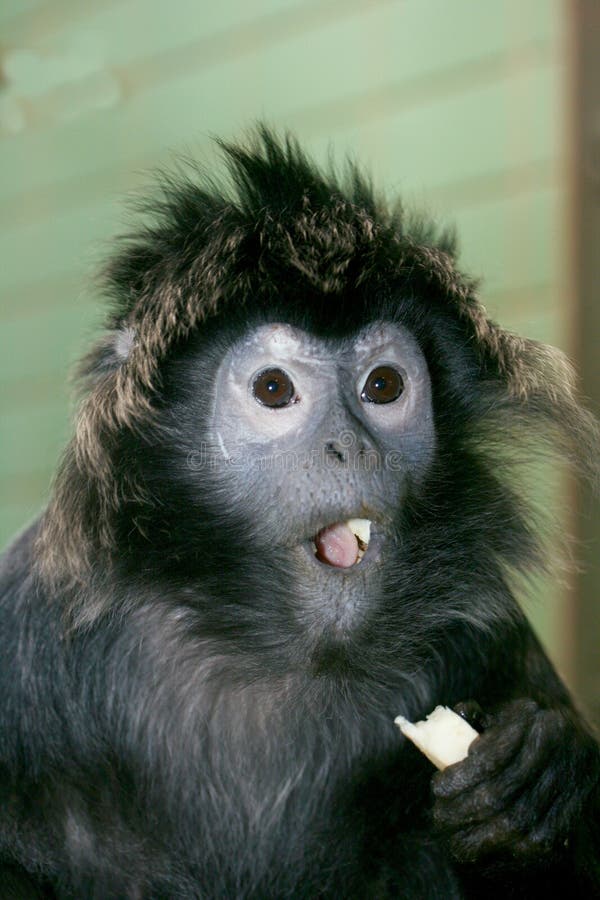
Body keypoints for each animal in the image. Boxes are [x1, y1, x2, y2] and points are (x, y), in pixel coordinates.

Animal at [0, 126, 599, 899]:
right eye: (273, 388)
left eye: (384, 385)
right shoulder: (29, 614)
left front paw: (537, 782)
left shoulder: (491, 633)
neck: (281, 651)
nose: (350, 447)